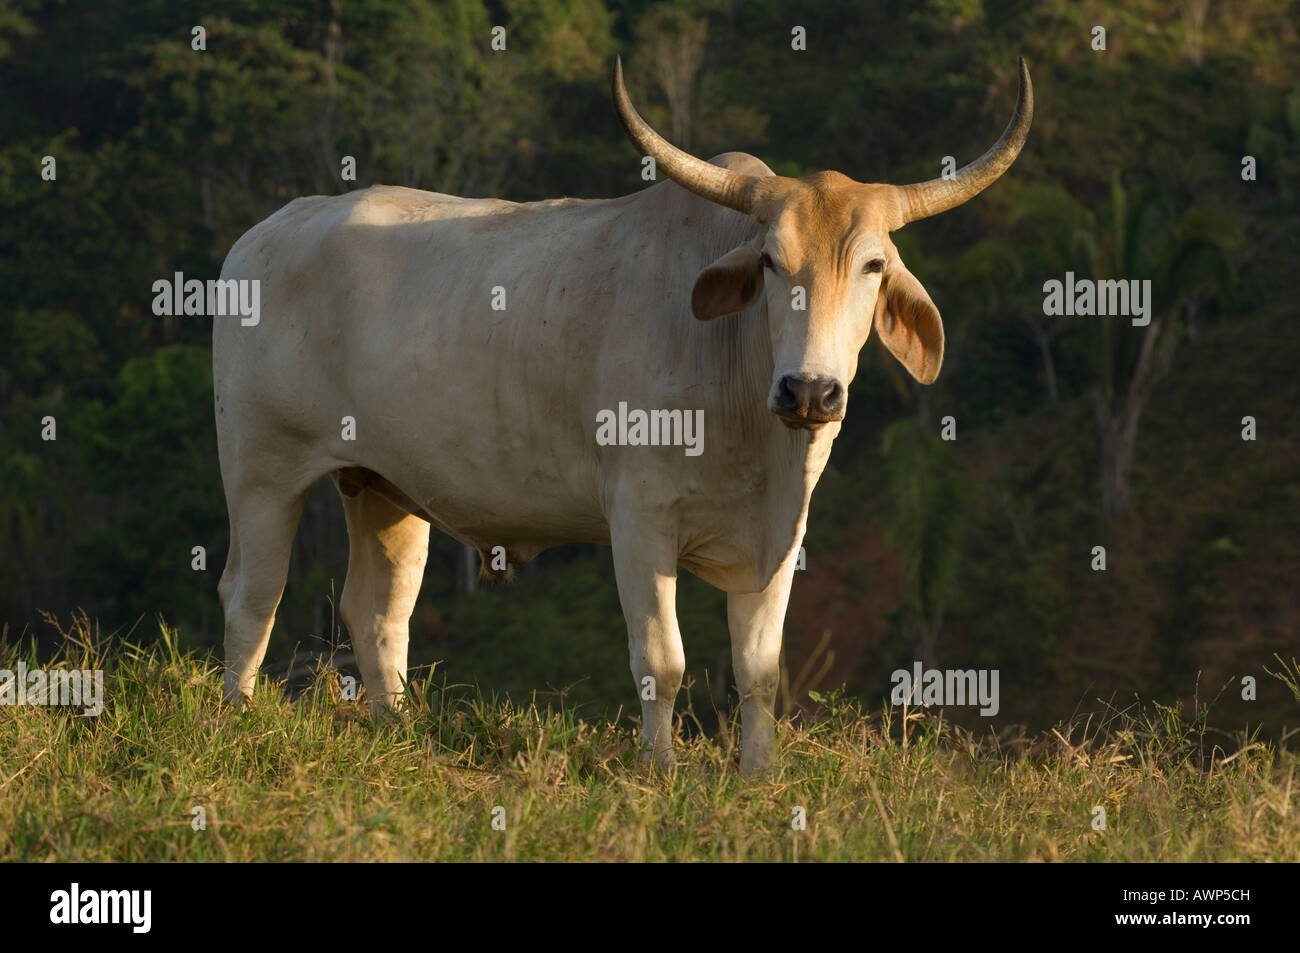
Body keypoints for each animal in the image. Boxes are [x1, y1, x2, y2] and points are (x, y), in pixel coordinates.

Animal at [214, 57, 1033, 775]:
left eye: (872, 264)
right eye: (770, 261)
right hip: (261, 470)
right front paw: (659, 766)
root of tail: (266, 234)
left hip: (385, 487)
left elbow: (760, 669)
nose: (809, 391)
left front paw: (761, 775)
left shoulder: (780, 533)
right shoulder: (639, 517)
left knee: (377, 610)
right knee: (252, 593)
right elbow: (661, 660)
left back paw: (398, 733)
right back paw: (239, 720)